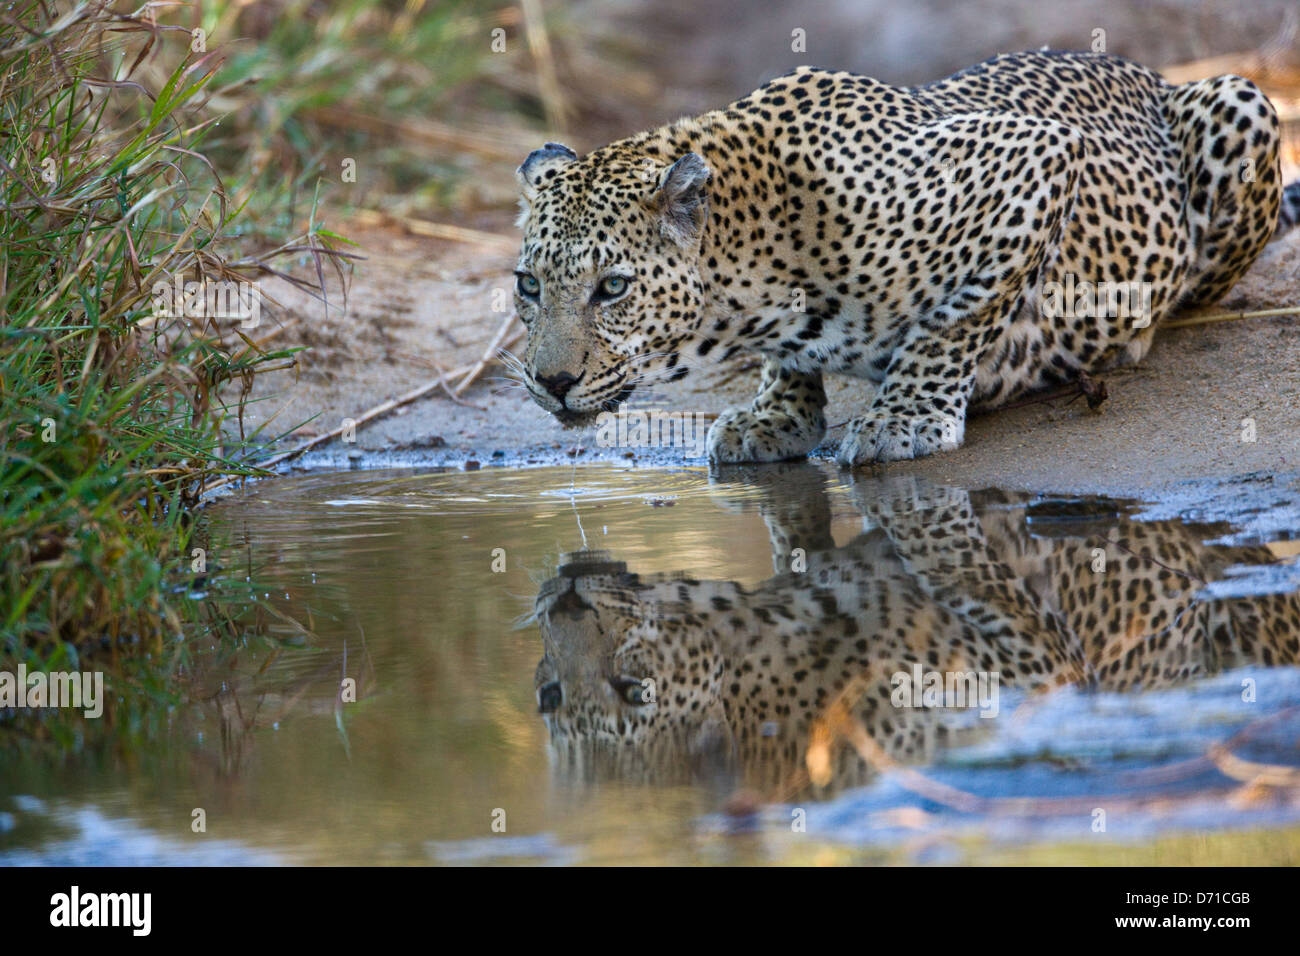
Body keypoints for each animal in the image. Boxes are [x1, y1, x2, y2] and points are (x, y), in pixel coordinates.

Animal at [512, 50, 1288, 466]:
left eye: (612, 288)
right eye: (527, 285)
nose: (551, 383)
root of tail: (1150, 73)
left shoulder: (1035, 157)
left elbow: (956, 320)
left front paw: (906, 417)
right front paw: (776, 415)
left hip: (1240, 100)